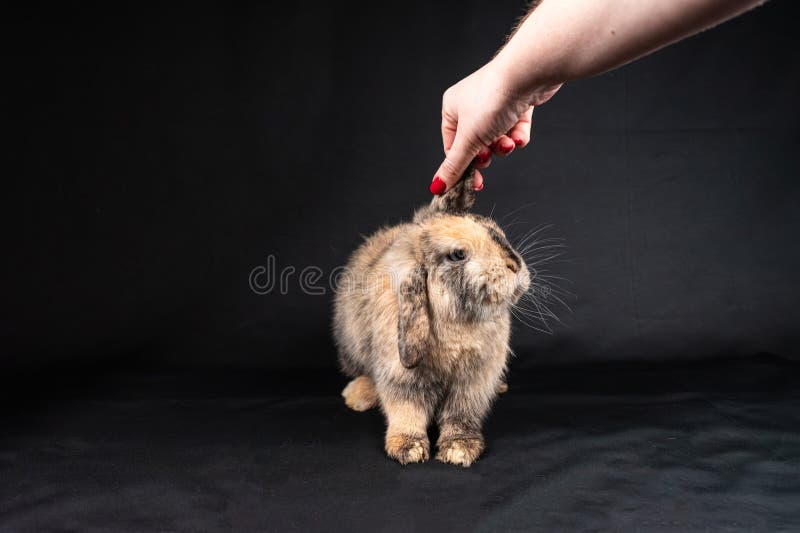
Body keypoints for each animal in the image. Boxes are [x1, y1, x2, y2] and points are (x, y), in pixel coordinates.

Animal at [333, 165, 530, 467]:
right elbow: (407, 412)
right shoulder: (402, 378)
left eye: (494, 229)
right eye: (458, 254)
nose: (515, 265)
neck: (459, 321)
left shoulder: (472, 383)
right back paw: (357, 397)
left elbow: (461, 415)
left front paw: (459, 449)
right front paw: (408, 449)